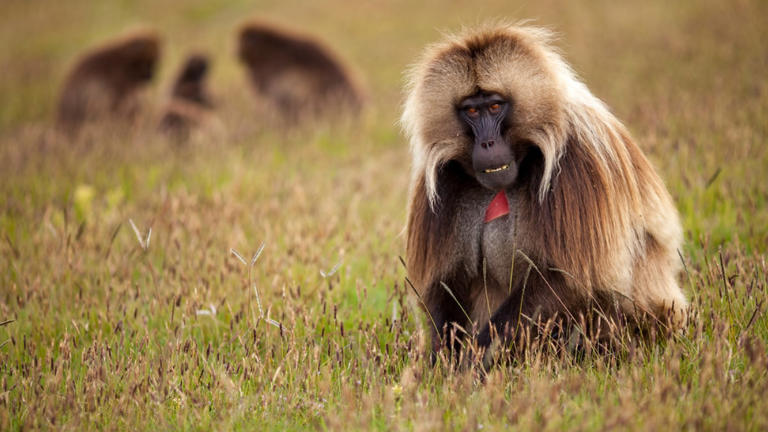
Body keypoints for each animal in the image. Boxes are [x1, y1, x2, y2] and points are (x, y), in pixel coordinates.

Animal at [401, 24, 688, 367]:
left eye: (495, 106)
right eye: (470, 110)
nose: (487, 144)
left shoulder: (579, 161)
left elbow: (567, 280)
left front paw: (471, 361)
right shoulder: (441, 181)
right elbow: (447, 282)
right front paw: (443, 363)